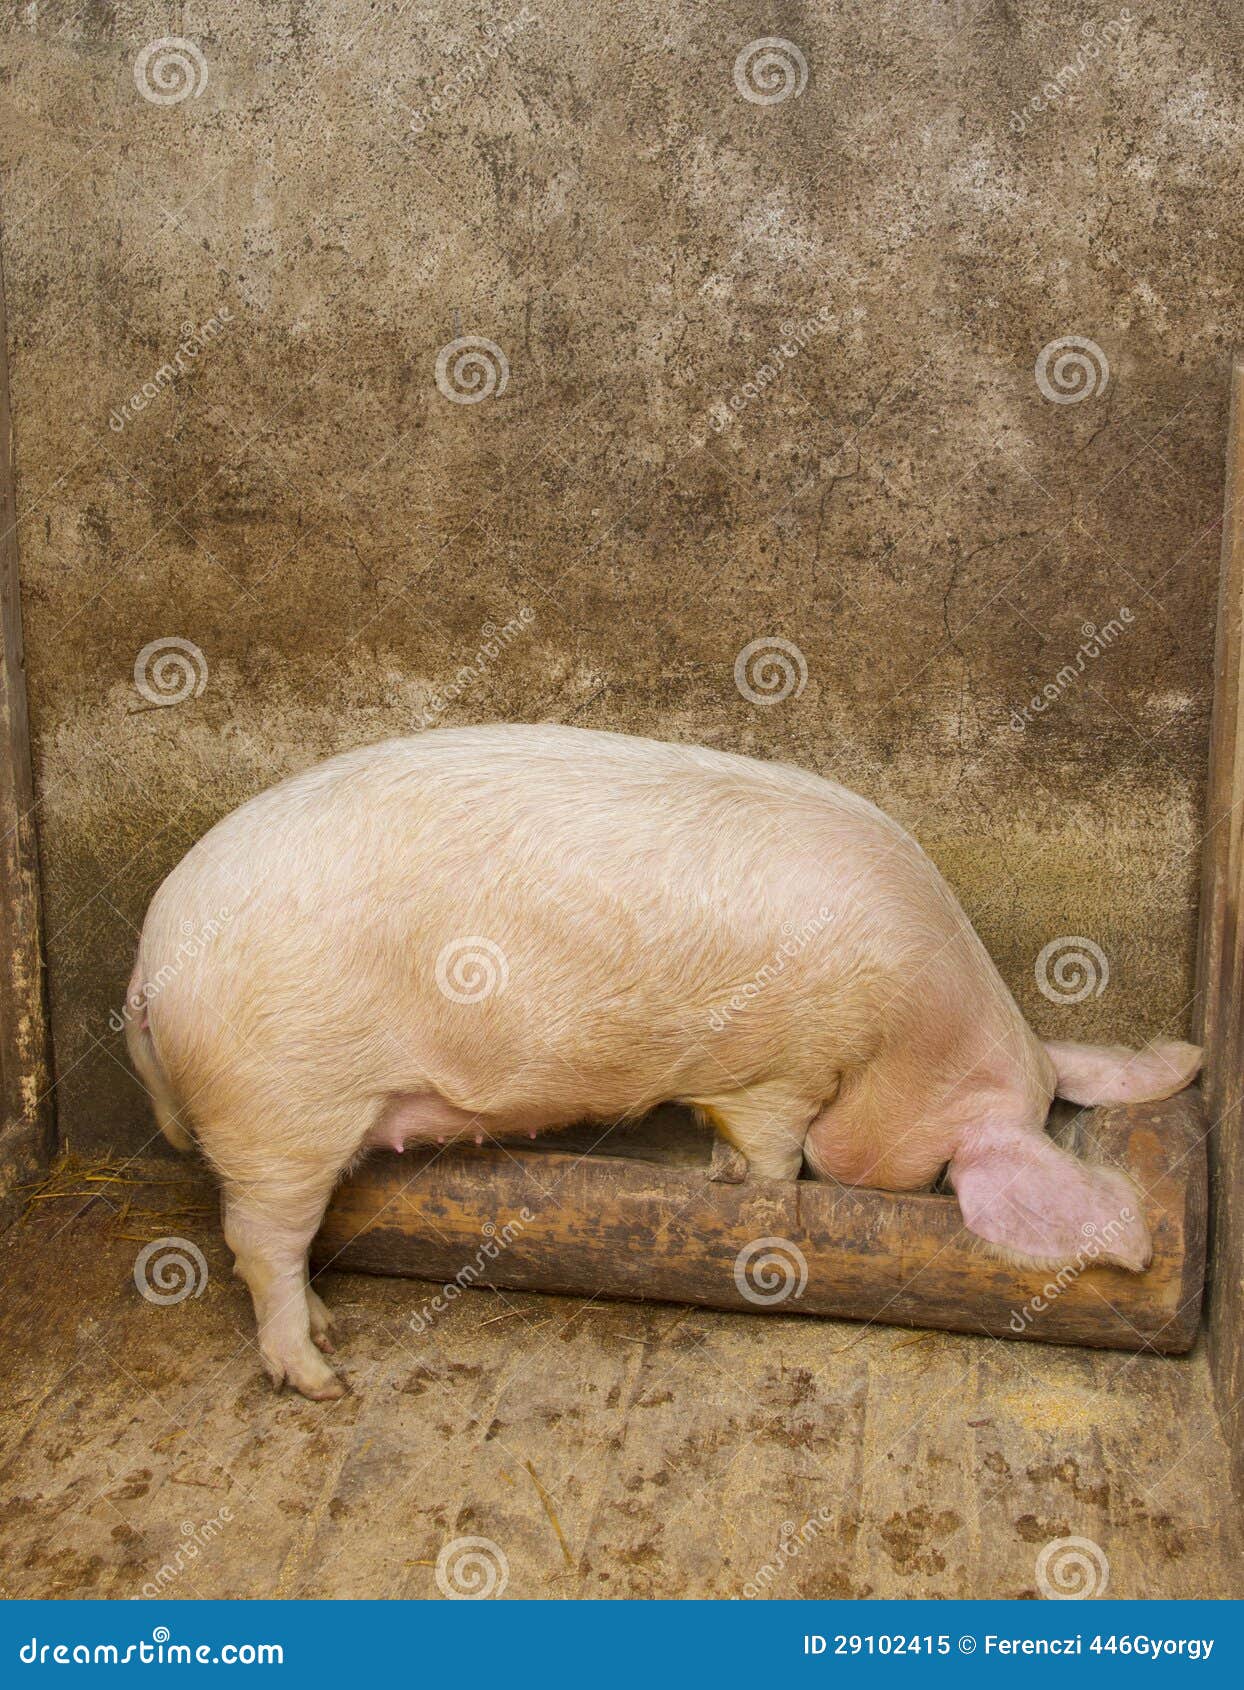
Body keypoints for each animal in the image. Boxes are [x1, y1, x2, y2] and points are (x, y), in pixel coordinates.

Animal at [125, 724, 1201, 1399]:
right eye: (943, 1173)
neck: (907, 1035)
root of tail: (148, 967)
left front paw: (715, 1173)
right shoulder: (783, 1070)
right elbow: (778, 1153)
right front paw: (754, 1191)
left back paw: (332, 1328)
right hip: (278, 1113)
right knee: (256, 1244)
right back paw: (321, 1377)